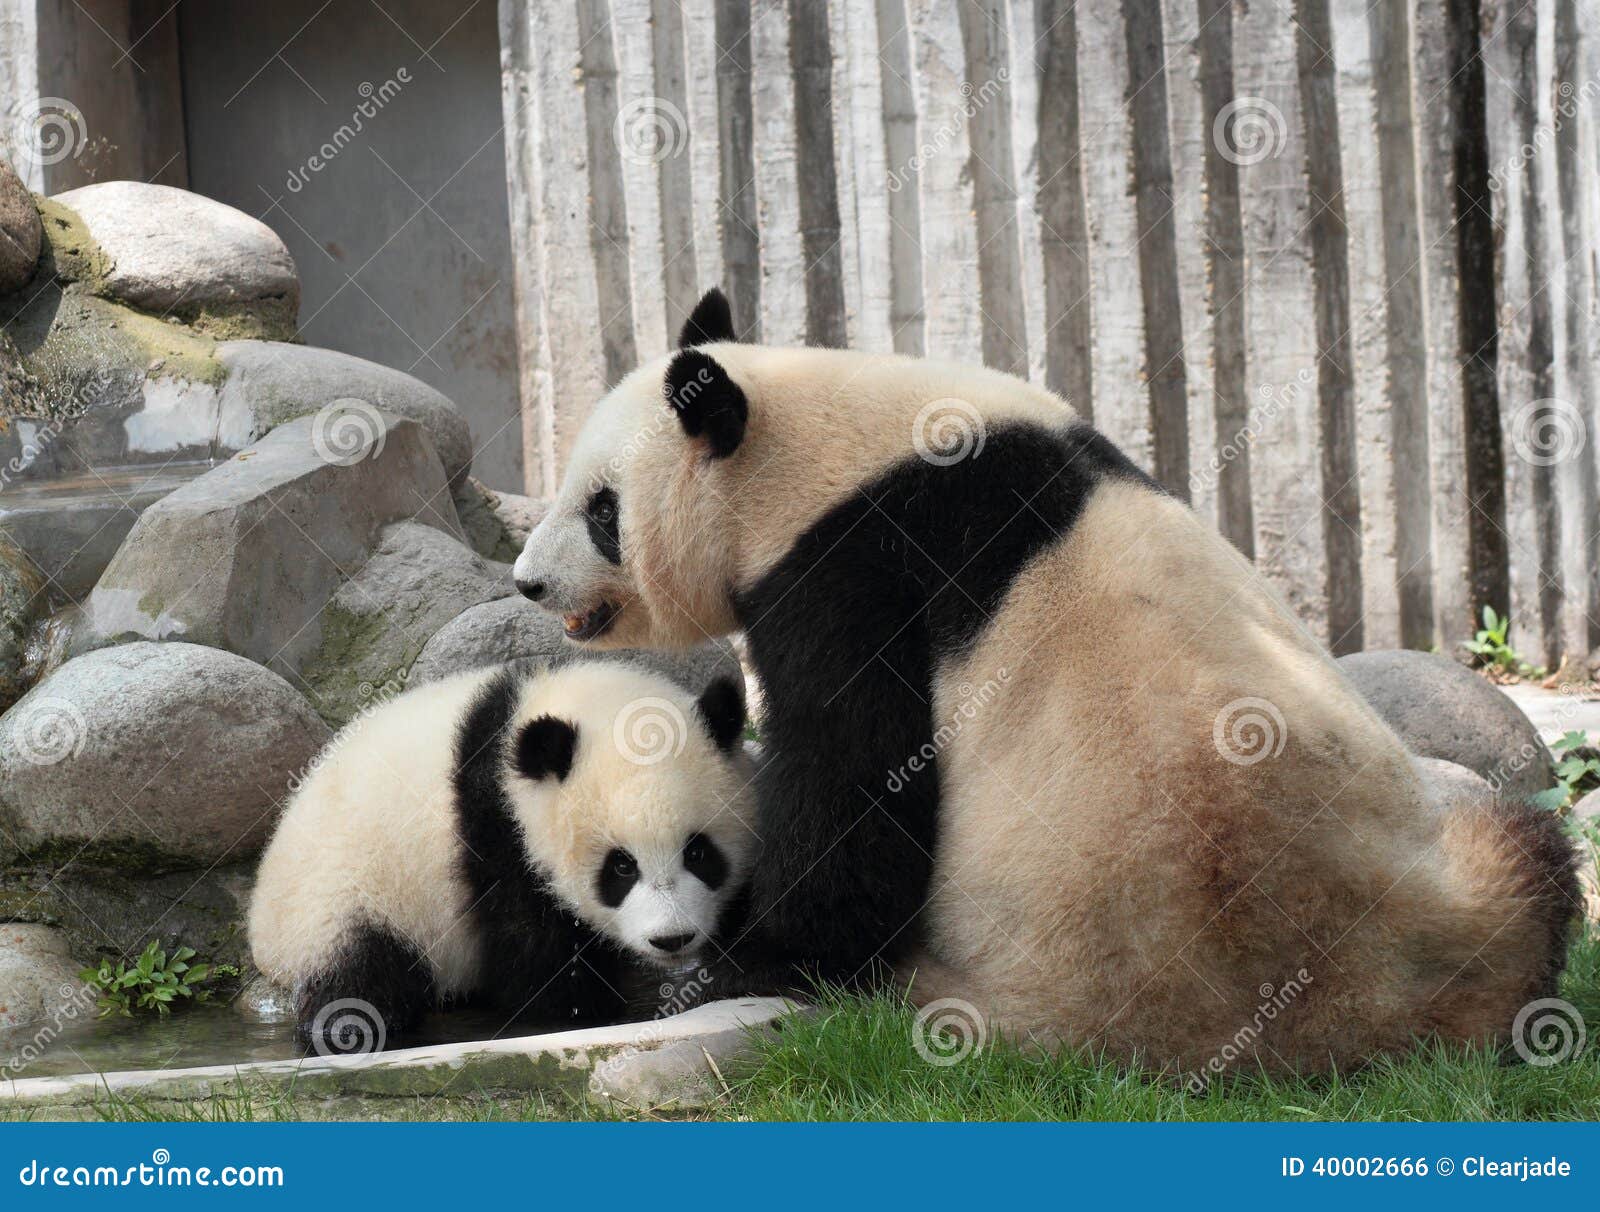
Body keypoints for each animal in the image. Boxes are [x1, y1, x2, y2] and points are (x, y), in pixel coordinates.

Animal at [248, 659, 757, 1052]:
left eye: (698, 852)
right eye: (620, 866)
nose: (672, 939)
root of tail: (262, 938)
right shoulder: (496, 837)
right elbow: (533, 957)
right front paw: (594, 1008)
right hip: (343, 902)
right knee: (360, 984)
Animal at [509, 288, 1578, 1074]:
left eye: (600, 509)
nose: (527, 582)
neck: (813, 441)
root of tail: (1328, 1025)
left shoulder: (848, 578)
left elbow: (856, 810)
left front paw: (745, 937)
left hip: (1005, 977)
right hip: (1451, 899)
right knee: (1529, 855)